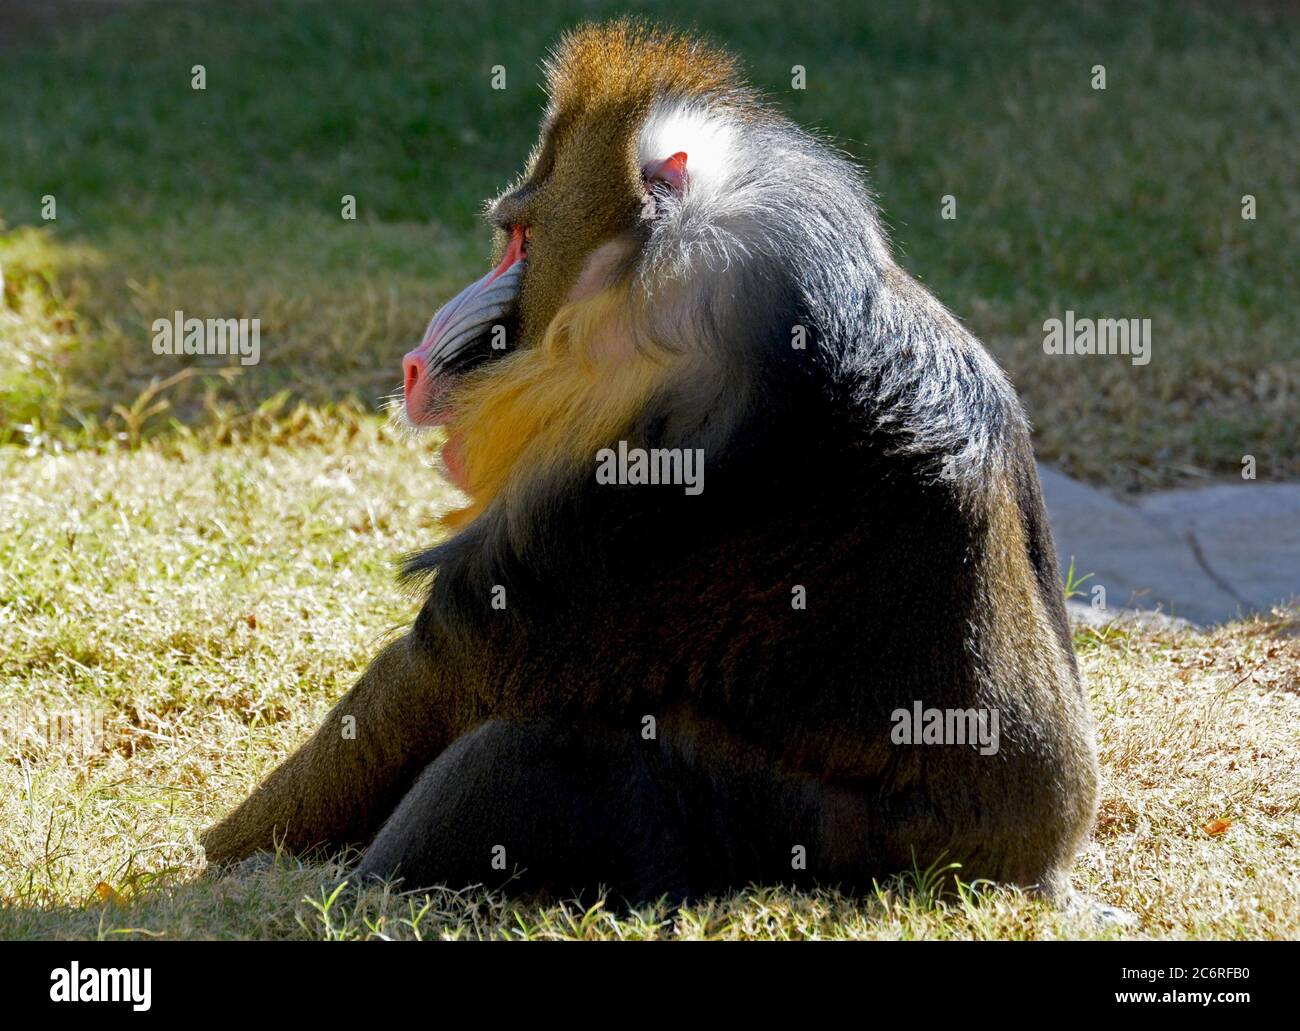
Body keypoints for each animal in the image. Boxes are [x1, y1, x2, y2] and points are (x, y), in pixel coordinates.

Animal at [201, 20, 1100, 909]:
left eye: (521, 236)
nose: (417, 365)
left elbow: (445, 671)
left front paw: (222, 859)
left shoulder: (644, 488)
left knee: (535, 746)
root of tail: (1033, 868)